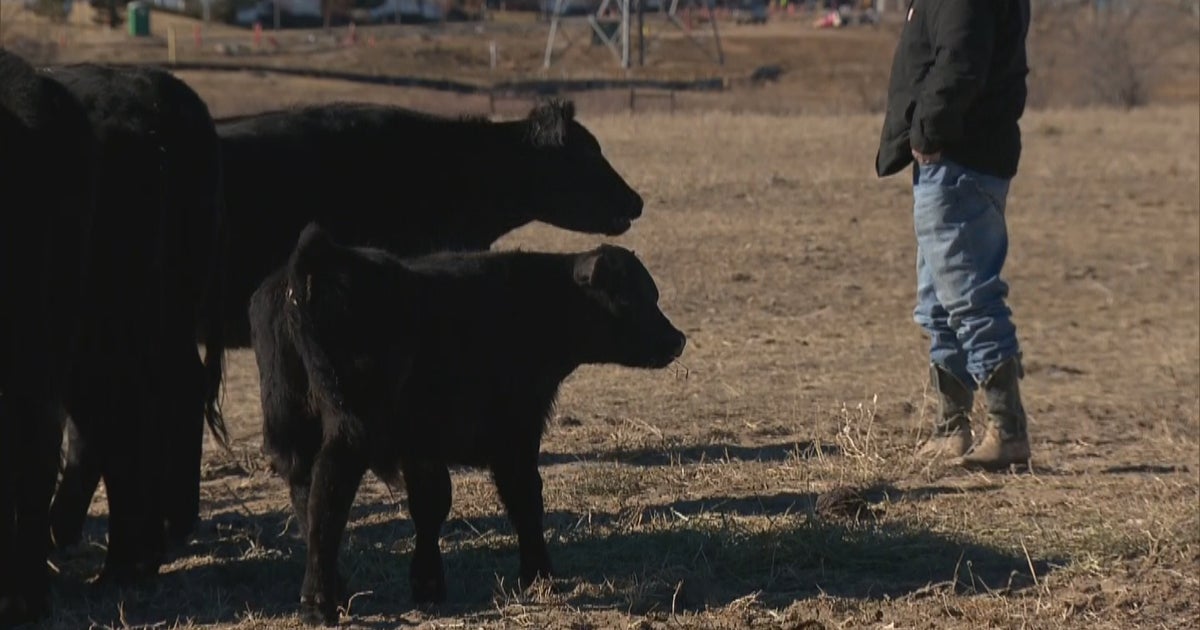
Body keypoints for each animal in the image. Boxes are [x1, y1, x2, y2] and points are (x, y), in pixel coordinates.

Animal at [249, 223, 686, 626]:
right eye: (633, 296)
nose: (677, 339)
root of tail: (318, 260)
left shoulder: (423, 442)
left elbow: (431, 504)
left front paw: (427, 584)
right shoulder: (515, 431)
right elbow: (525, 498)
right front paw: (538, 574)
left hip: (293, 434)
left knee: (306, 500)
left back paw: (336, 592)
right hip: (349, 432)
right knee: (328, 499)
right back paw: (320, 604)